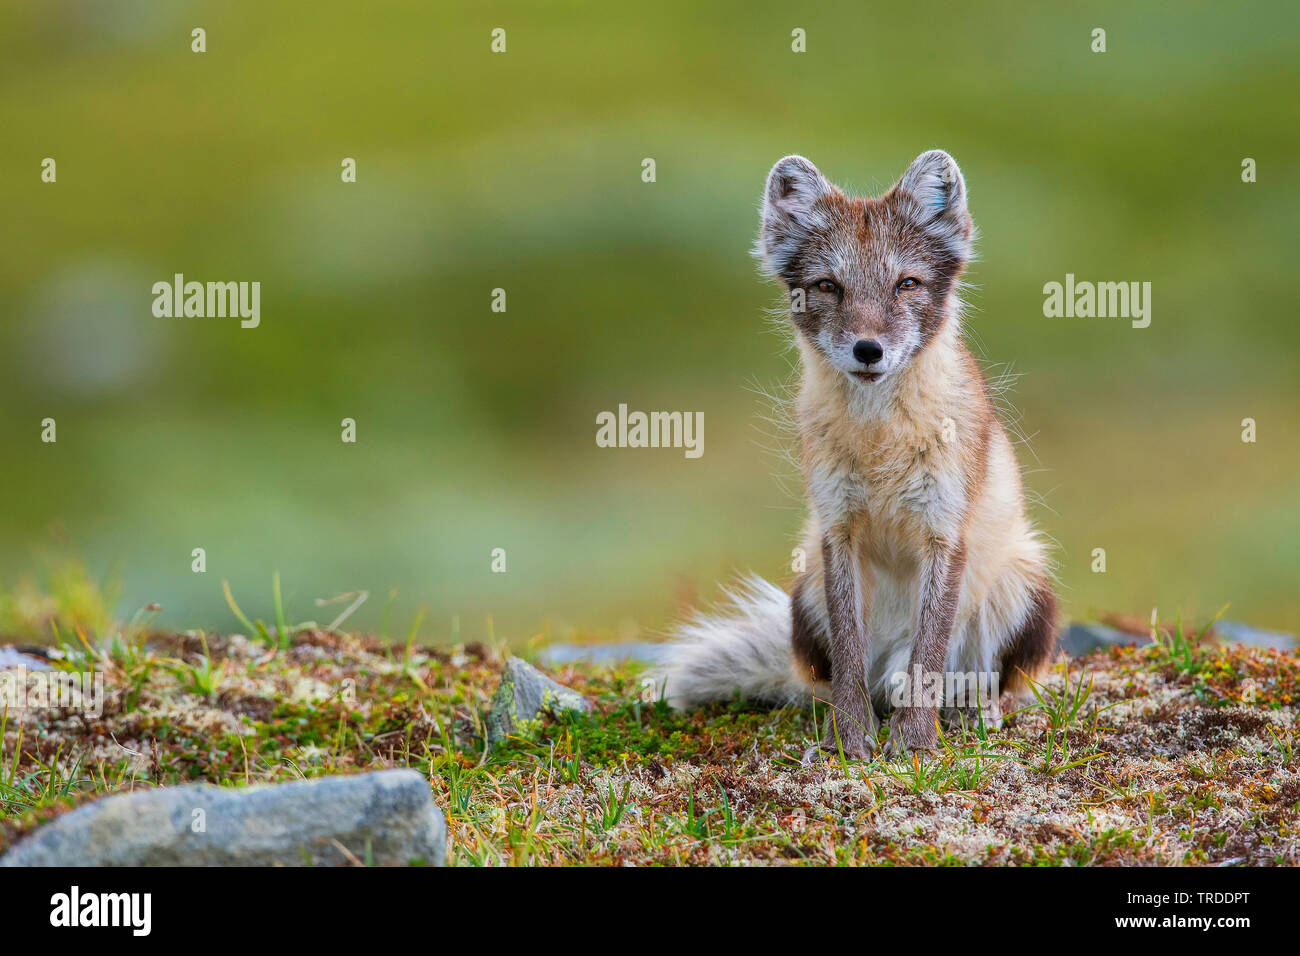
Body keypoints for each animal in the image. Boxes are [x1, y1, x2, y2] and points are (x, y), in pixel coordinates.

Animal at [655, 150, 1057, 762]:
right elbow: (847, 655)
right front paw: (849, 740)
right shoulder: (836, 529)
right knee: (839, 675)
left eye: (907, 283)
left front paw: (914, 745)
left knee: (976, 674)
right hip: (805, 592)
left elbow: (928, 656)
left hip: (1024, 583)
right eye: (828, 285)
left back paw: (971, 711)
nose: (869, 350)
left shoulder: (945, 532)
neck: (879, 442)